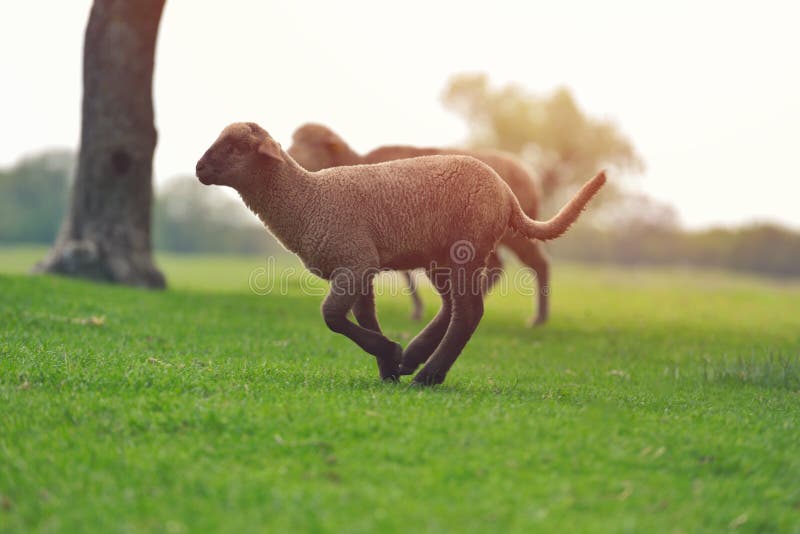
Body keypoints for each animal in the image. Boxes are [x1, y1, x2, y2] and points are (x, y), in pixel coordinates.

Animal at [288, 123, 551, 326]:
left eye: (310, 143)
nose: (290, 155)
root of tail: (528, 172)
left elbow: (405, 274)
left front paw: (417, 310)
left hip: (510, 234)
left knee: (538, 263)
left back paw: (538, 318)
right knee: (498, 267)